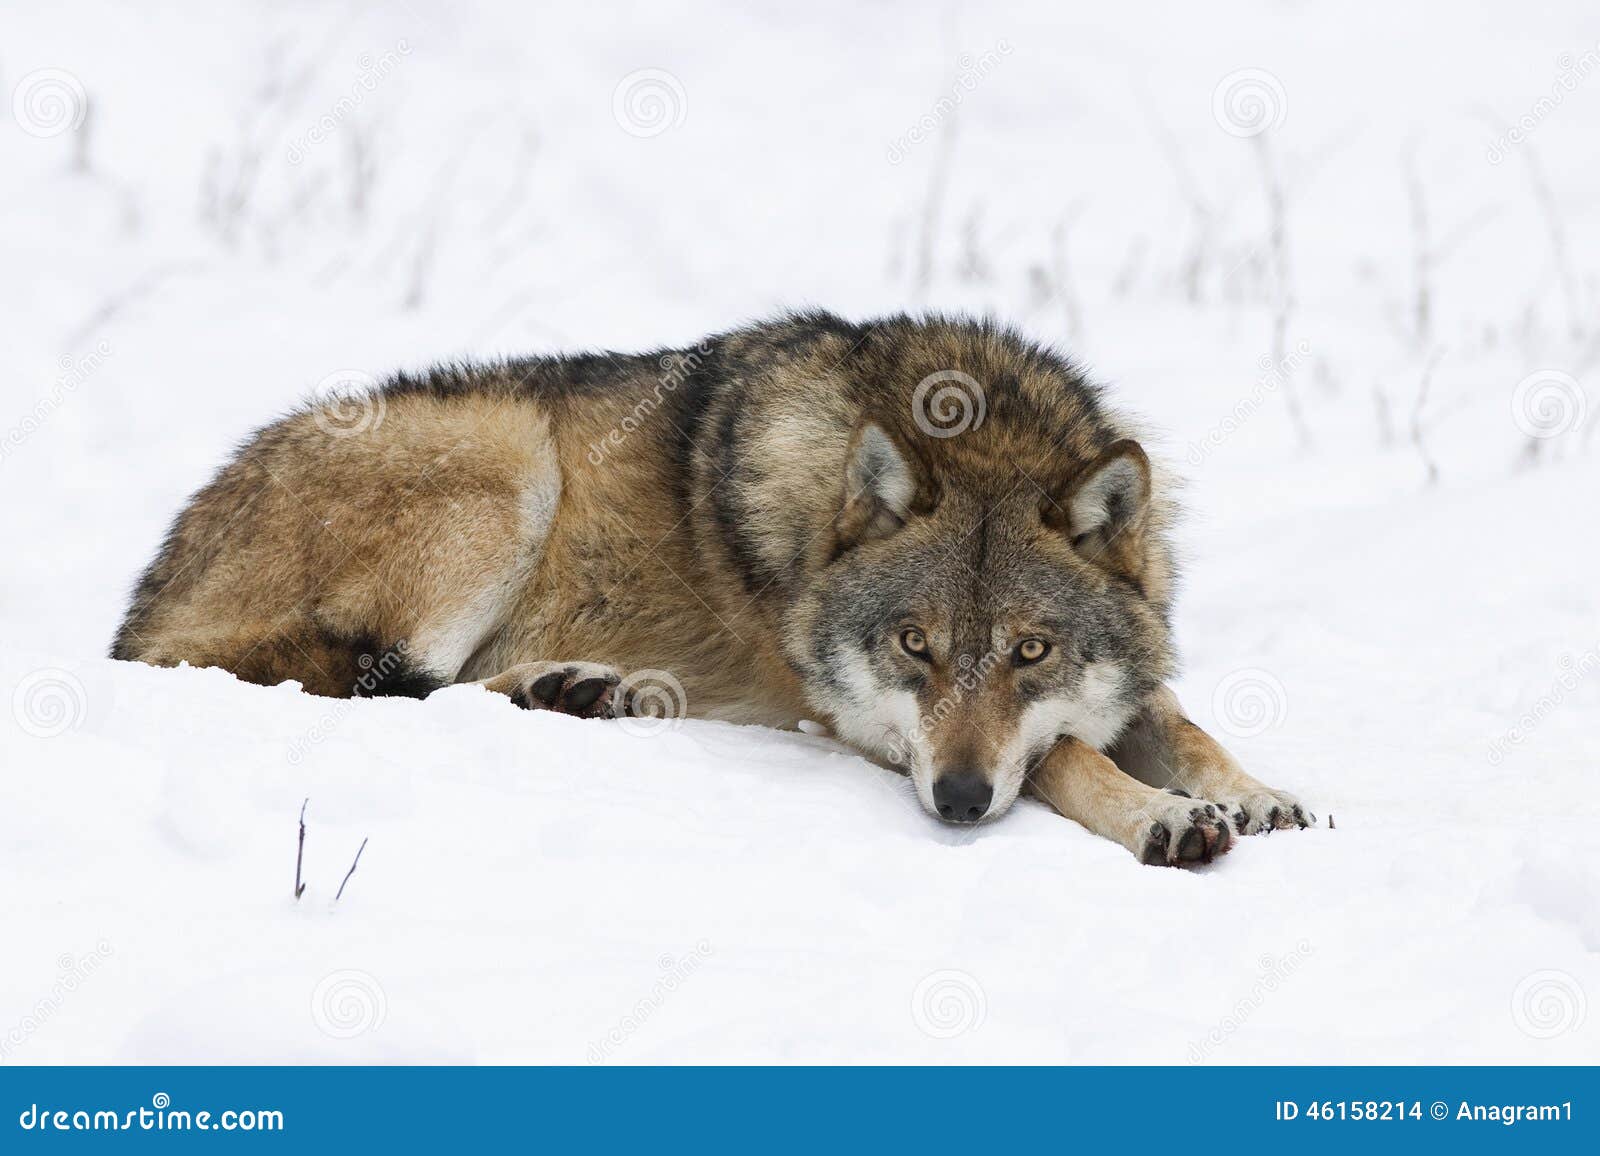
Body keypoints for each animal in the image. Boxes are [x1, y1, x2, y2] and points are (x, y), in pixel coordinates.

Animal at [112, 311, 1312, 865]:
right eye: (913, 646)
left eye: (1031, 651)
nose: (963, 802)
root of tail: (138, 619)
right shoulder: (861, 726)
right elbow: (1065, 755)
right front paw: (1168, 818)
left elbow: (1175, 719)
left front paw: (1254, 791)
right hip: (507, 458)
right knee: (389, 688)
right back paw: (567, 688)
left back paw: (580, 691)